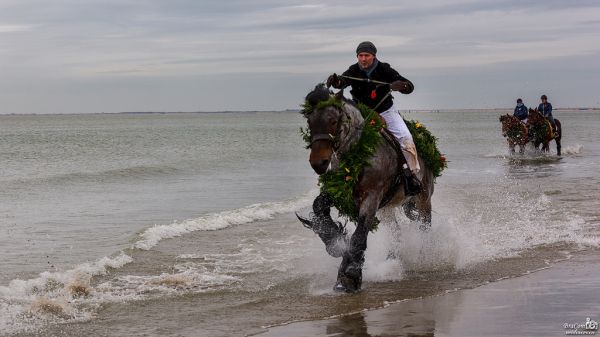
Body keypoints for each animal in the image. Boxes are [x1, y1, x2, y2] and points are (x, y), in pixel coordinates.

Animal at [298, 84, 434, 292]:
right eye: (309, 121)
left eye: (333, 121)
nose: (318, 163)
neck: (359, 154)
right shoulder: (340, 190)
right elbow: (319, 205)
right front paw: (333, 241)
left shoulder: (372, 197)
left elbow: (359, 234)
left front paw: (350, 275)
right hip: (387, 210)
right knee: (396, 232)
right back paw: (392, 261)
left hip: (423, 200)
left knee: (425, 226)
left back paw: (424, 258)